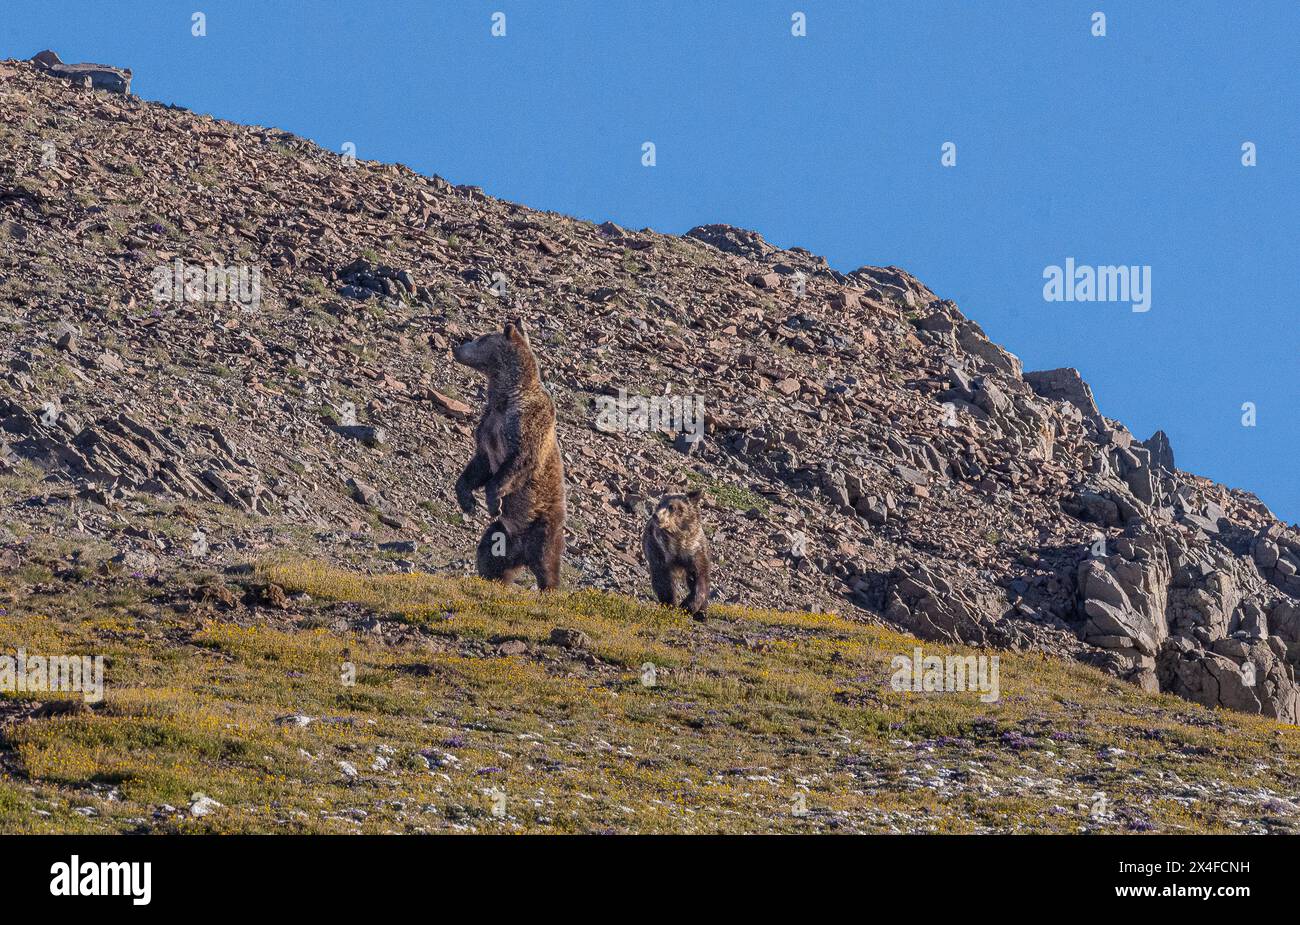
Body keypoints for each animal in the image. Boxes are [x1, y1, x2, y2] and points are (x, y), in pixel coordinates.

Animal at [452, 319, 566, 590]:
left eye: (480, 338)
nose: (457, 346)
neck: (504, 398)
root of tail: (521, 552)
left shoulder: (525, 422)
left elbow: (519, 460)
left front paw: (493, 501)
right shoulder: (489, 424)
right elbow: (480, 464)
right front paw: (468, 501)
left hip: (544, 526)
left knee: (547, 562)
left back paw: (549, 588)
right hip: (501, 536)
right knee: (489, 556)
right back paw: (494, 580)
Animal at [642, 489, 711, 619]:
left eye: (672, 507)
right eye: (659, 504)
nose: (656, 515)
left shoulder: (694, 550)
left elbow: (699, 578)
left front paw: (688, 606)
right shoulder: (659, 550)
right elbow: (663, 579)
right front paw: (671, 604)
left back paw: (702, 613)